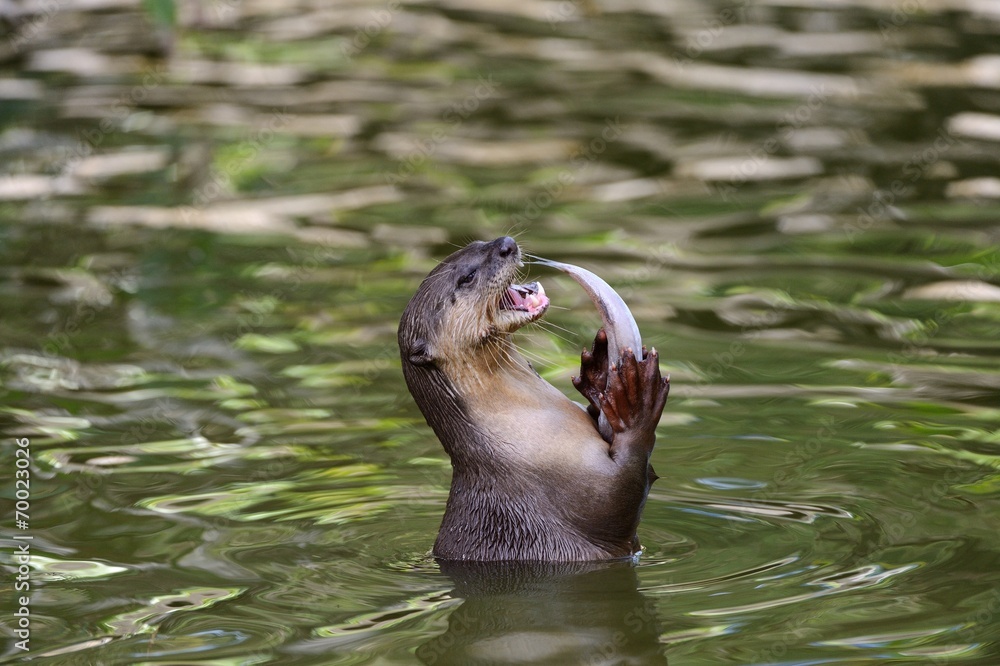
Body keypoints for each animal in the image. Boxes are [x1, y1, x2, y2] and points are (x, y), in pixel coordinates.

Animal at [398, 237, 669, 561]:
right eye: (467, 277)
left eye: (478, 241)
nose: (506, 243)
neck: (513, 447)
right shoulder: (583, 489)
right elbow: (622, 494)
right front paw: (634, 400)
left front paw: (599, 373)